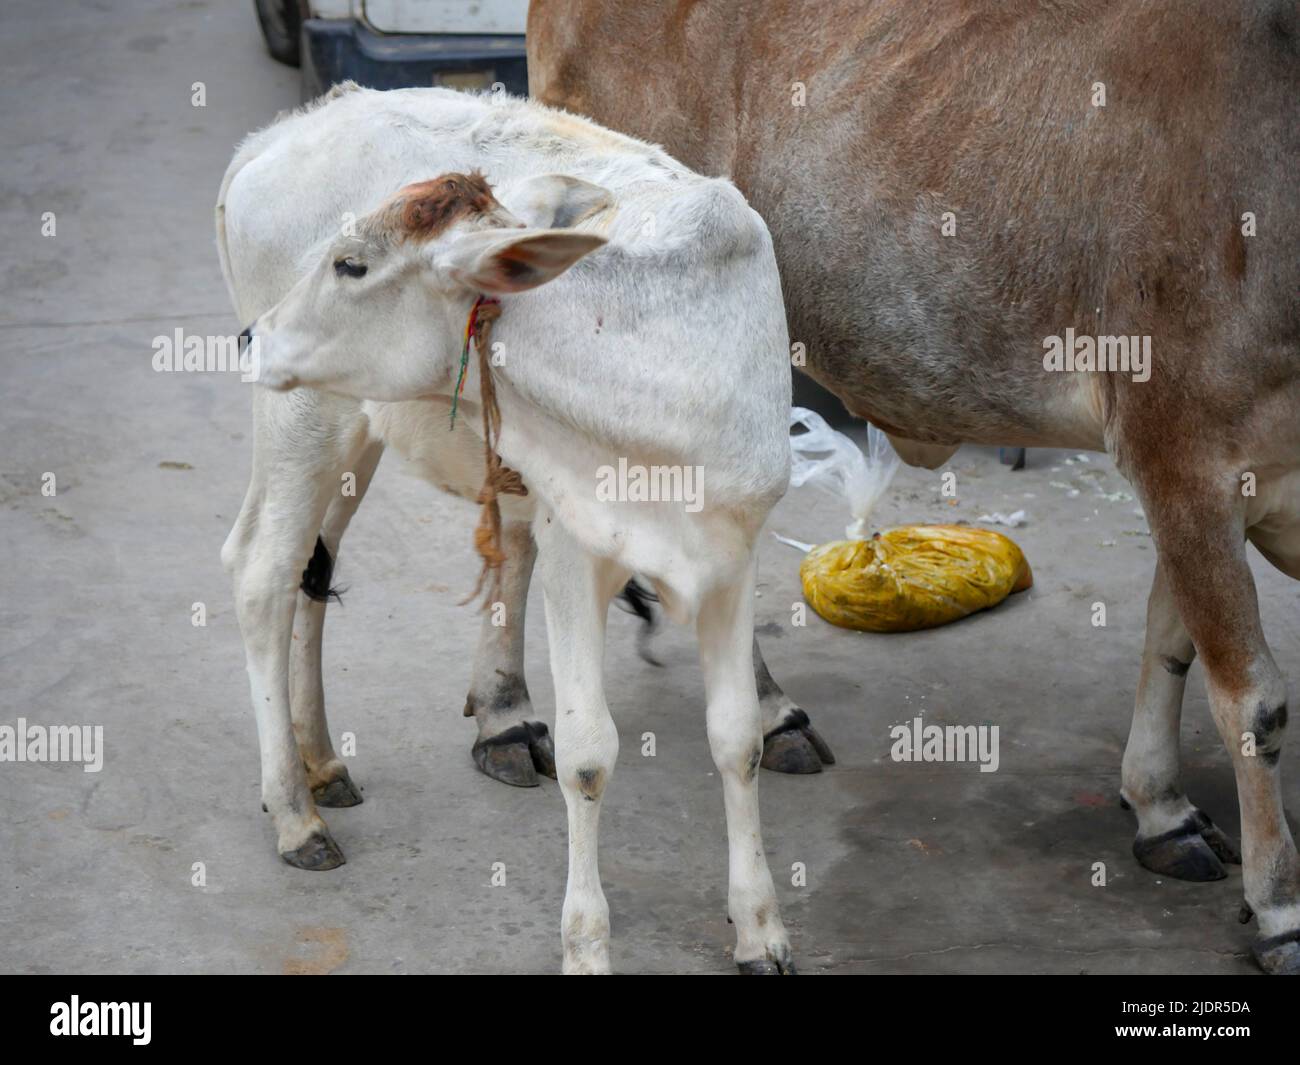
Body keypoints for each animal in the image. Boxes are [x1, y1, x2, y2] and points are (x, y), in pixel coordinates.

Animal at [217, 84, 796, 972]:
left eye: (351, 264)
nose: (252, 337)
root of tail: (277, 134)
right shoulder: (572, 549)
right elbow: (590, 755)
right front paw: (587, 945)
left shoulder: (734, 556)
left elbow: (738, 739)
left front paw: (760, 926)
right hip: (301, 416)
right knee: (261, 574)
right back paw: (292, 812)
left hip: (354, 431)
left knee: (314, 573)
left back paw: (320, 763)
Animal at [527, 0, 1300, 971]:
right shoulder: (1186, 447)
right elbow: (1253, 695)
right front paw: (1279, 905)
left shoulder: (1191, 472)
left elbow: (1172, 640)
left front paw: (1161, 807)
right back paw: (503, 722)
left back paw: (769, 715)